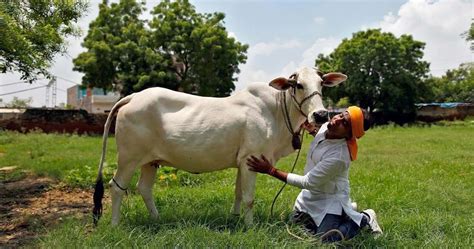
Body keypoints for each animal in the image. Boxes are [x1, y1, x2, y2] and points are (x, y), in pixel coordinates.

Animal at [92, 66, 346, 226]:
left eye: (321, 84)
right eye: (298, 85)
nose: (320, 114)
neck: (275, 111)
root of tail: (133, 96)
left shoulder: (243, 162)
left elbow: (238, 193)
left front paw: (235, 218)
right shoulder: (251, 159)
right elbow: (249, 197)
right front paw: (250, 226)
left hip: (150, 161)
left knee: (144, 189)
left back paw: (157, 219)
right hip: (129, 159)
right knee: (117, 187)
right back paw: (115, 224)